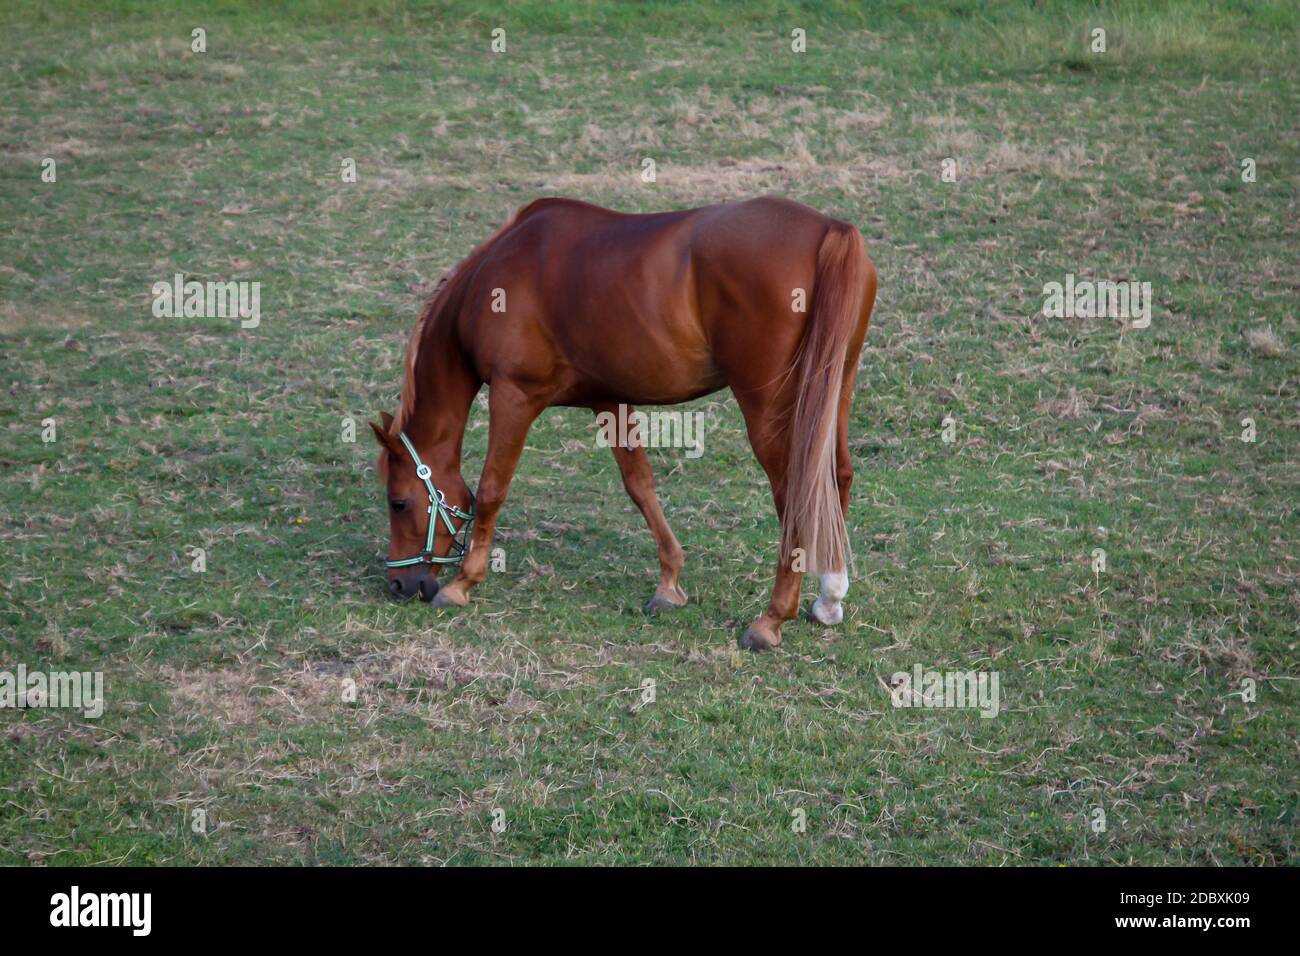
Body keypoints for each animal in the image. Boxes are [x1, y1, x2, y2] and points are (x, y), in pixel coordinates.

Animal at [369, 195, 877, 650]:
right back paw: (828, 598)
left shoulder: (514, 396)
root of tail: (830, 230)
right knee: (837, 476)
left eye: (398, 502)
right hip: (834, 389)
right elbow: (640, 484)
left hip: (770, 406)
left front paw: (463, 584)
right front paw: (669, 583)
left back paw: (771, 618)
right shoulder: (609, 401)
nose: (399, 585)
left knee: (795, 493)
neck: (495, 276)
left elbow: (492, 489)